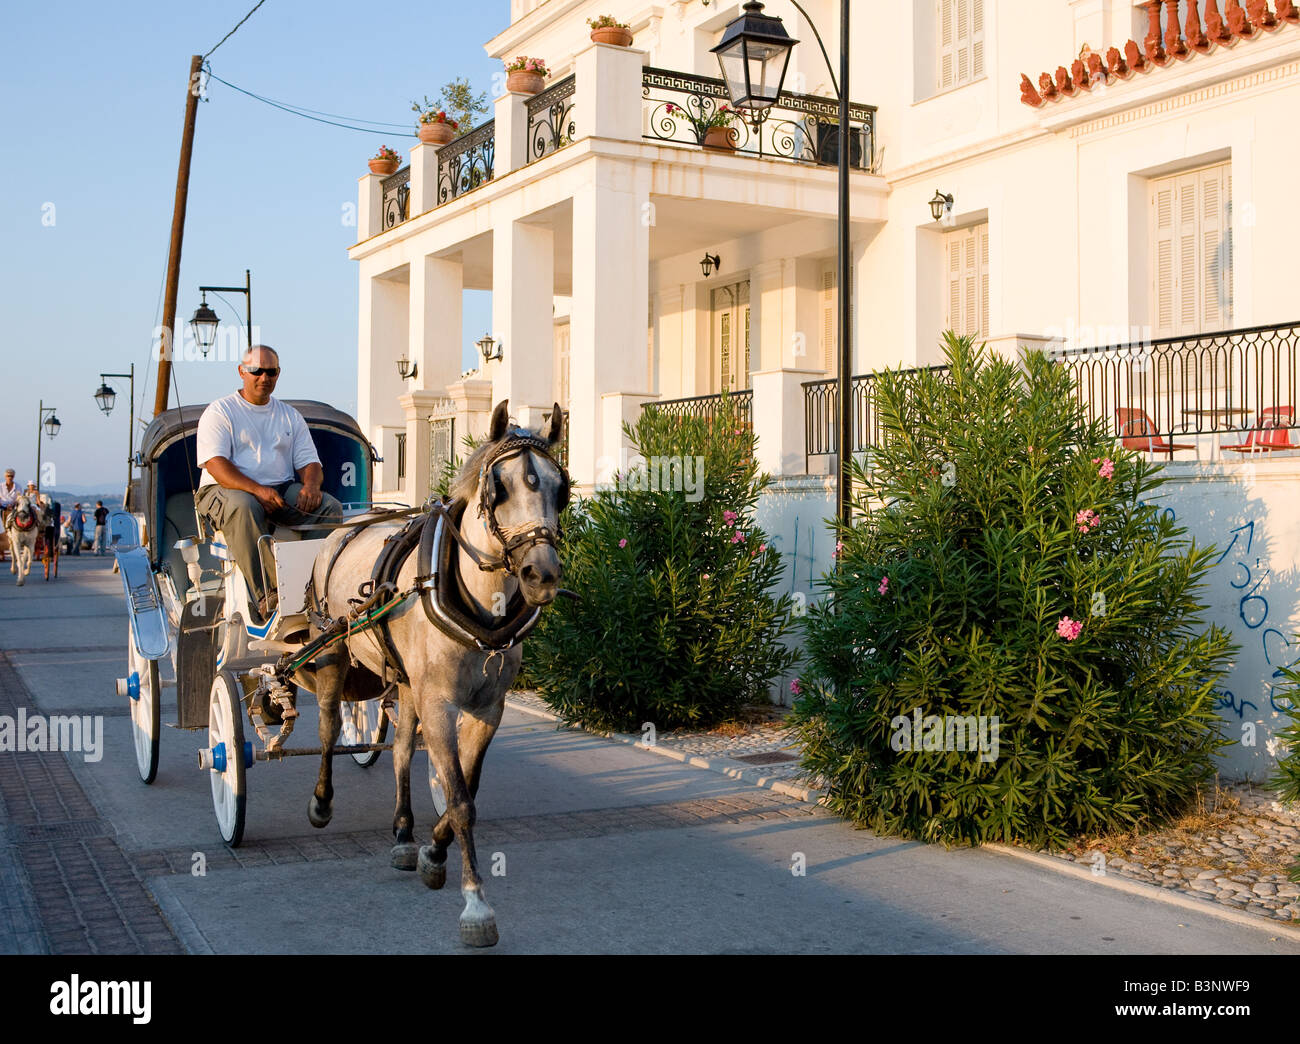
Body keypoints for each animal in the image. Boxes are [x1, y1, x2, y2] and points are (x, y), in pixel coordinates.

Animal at [292, 400, 568, 947]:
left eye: (559, 488)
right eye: (499, 488)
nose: (542, 574)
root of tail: (347, 524)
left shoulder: (487, 708)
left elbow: (466, 786)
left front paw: (431, 850)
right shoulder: (439, 703)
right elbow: (459, 800)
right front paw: (476, 904)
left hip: (403, 681)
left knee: (399, 750)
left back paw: (402, 832)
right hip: (333, 652)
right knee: (329, 728)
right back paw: (322, 801)